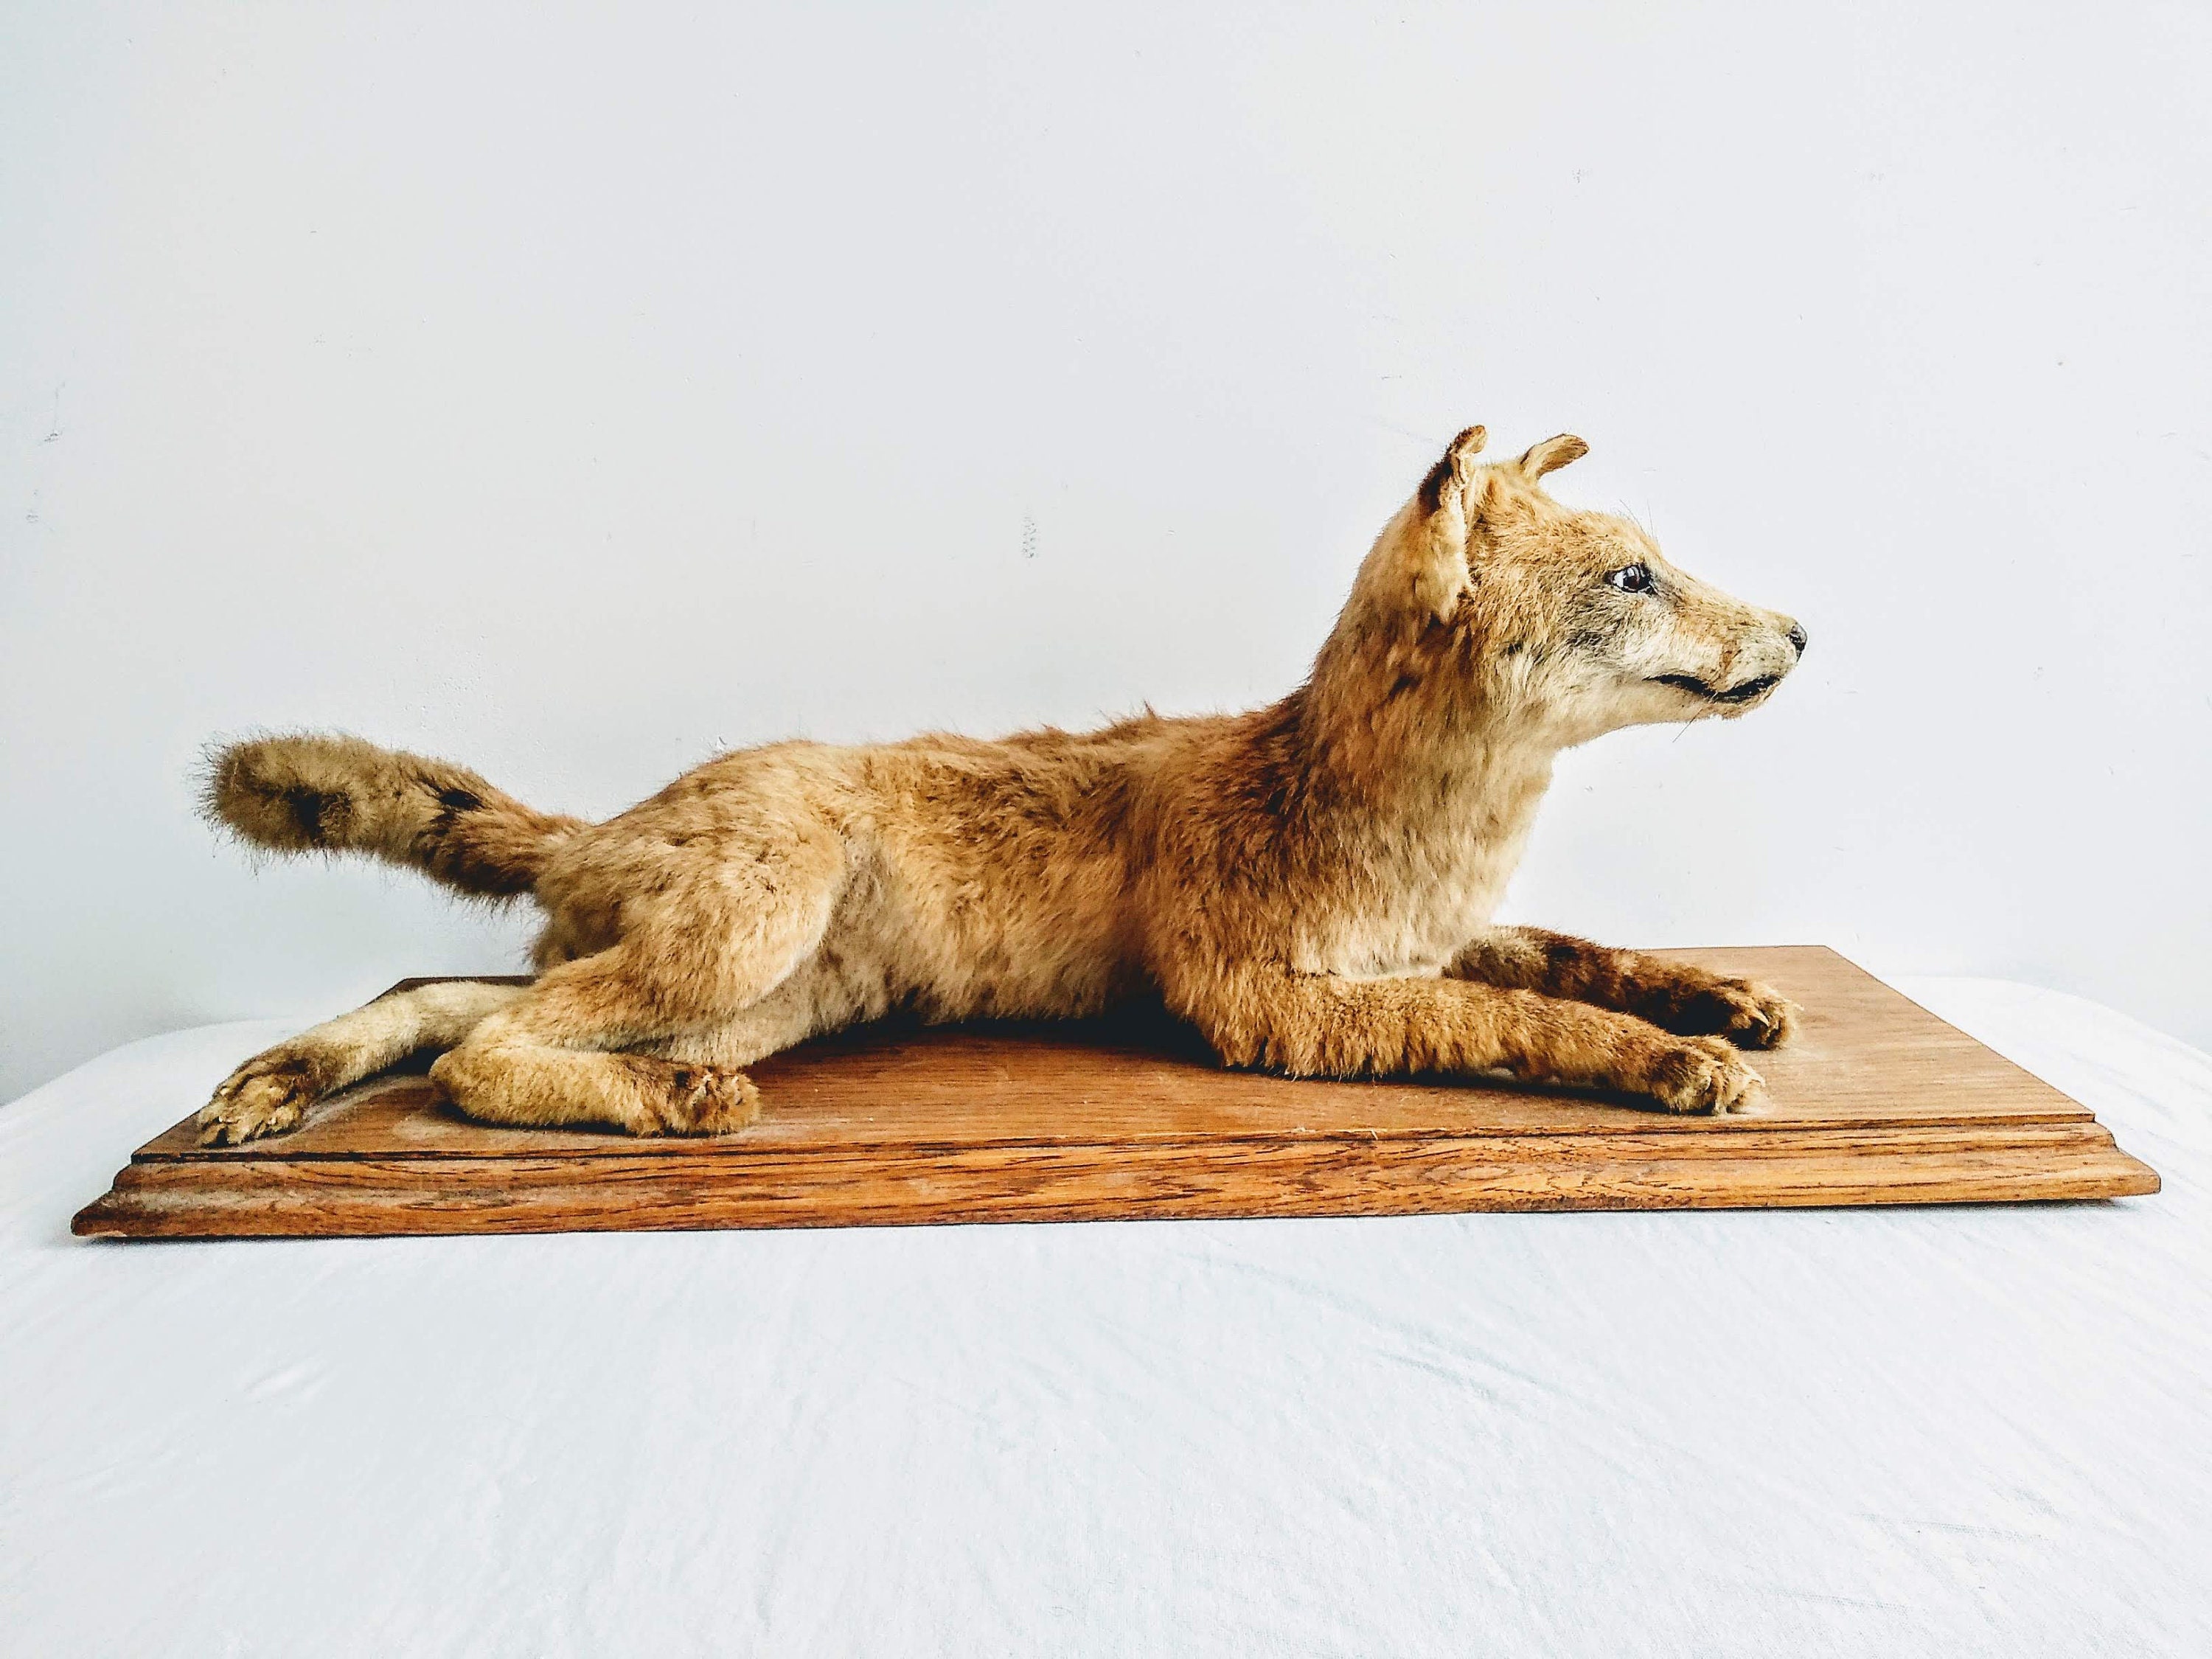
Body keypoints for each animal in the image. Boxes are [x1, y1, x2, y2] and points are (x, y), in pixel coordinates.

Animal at [196, 423, 1807, 1147]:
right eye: (1636, 576)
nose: (1801, 633)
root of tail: (617, 822)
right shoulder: (1265, 1005)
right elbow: (1507, 1016)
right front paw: (1669, 1065)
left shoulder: (1437, 930)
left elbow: (1574, 953)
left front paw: (1721, 999)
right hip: (746, 947)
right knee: (475, 1053)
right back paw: (668, 1105)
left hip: (762, 990)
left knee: (444, 1003)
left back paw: (274, 1085)